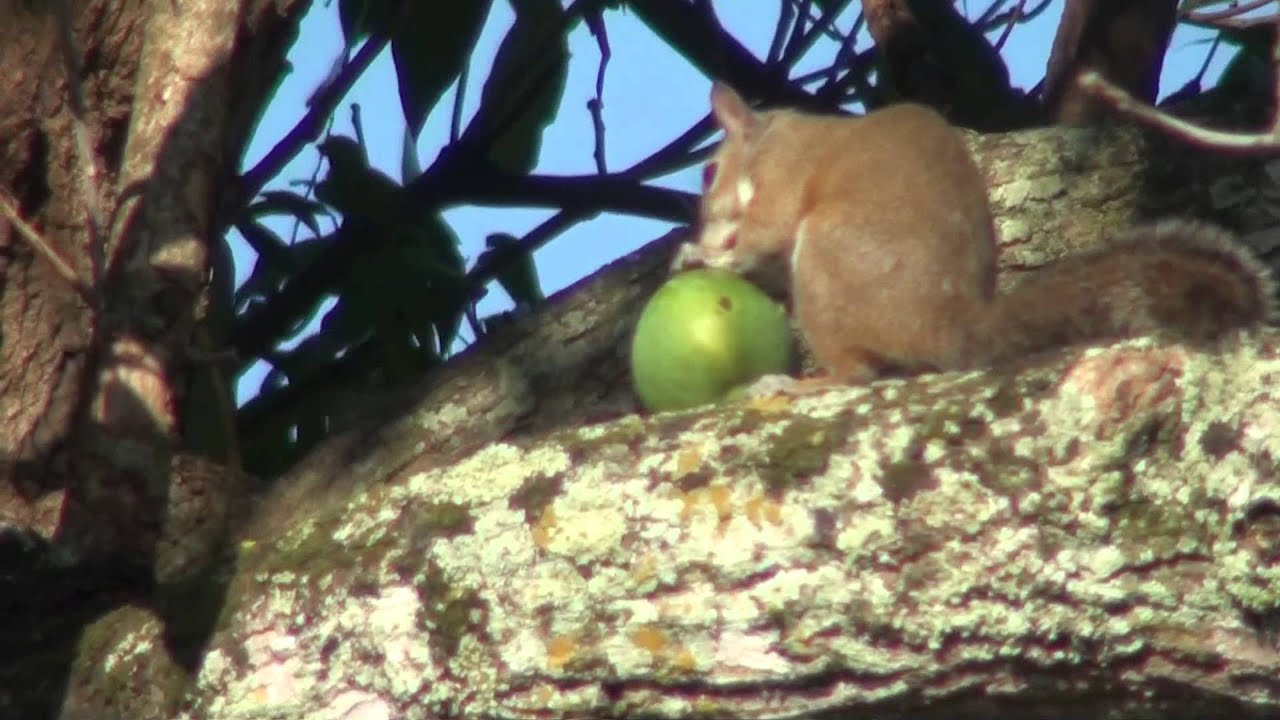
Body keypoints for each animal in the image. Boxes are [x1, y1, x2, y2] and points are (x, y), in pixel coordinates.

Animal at [673, 83, 1277, 383]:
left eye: (707, 173)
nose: (704, 225)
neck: (771, 139)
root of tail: (942, 324)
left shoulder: (782, 178)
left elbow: (763, 234)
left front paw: (703, 256)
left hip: (825, 260)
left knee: (855, 372)